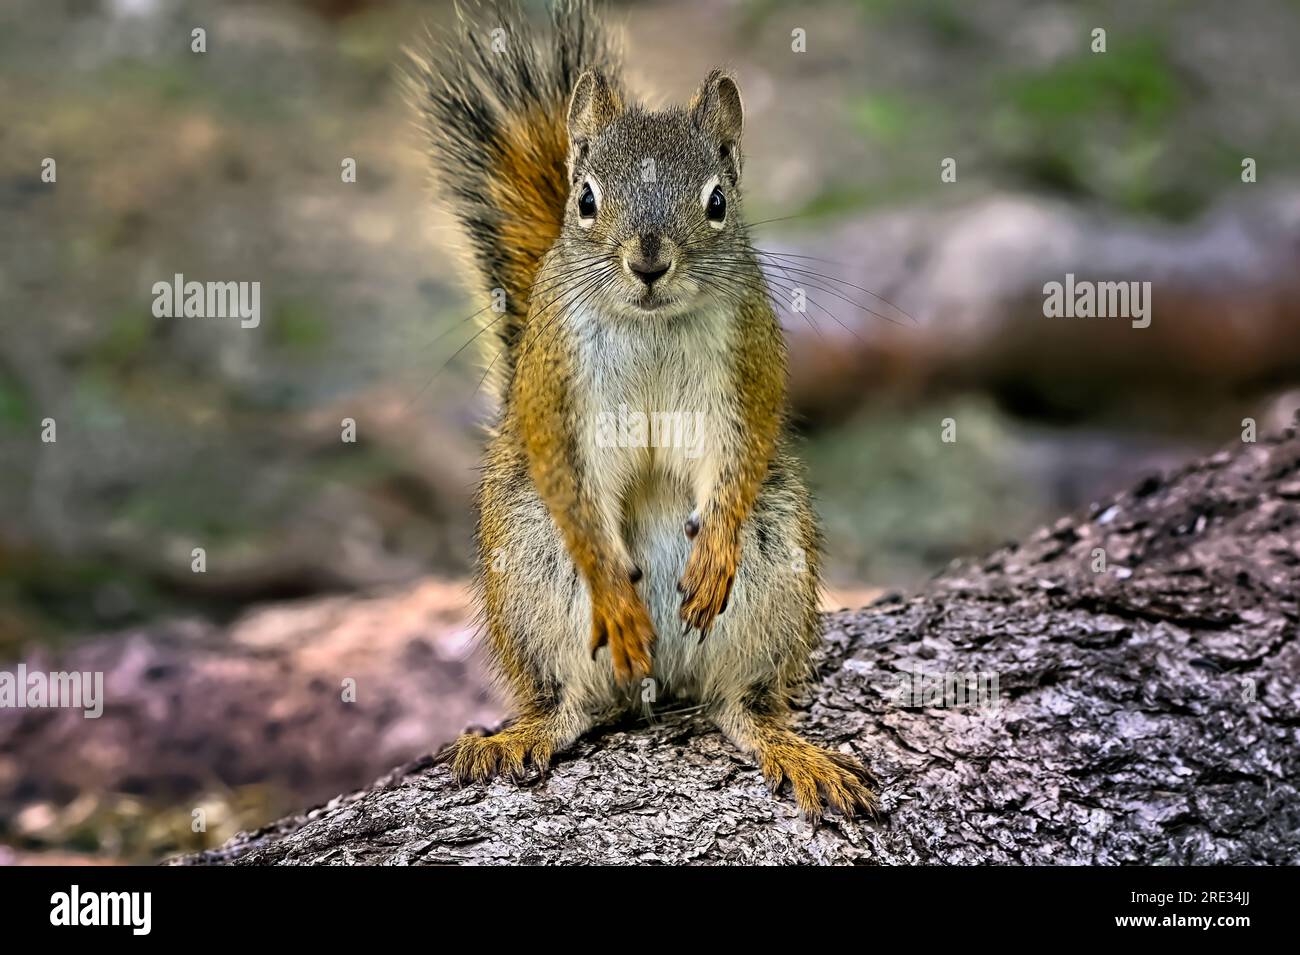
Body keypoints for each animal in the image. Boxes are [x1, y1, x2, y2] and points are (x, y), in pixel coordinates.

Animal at [406, 0, 877, 819]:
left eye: (718, 202)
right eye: (586, 199)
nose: (649, 261)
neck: (651, 322)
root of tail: (668, 680)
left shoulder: (749, 360)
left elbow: (746, 443)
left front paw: (712, 550)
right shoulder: (554, 387)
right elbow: (567, 471)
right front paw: (616, 595)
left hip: (773, 575)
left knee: (740, 705)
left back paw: (789, 747)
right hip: (533, 576)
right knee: (578, 702)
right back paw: (525, 730)